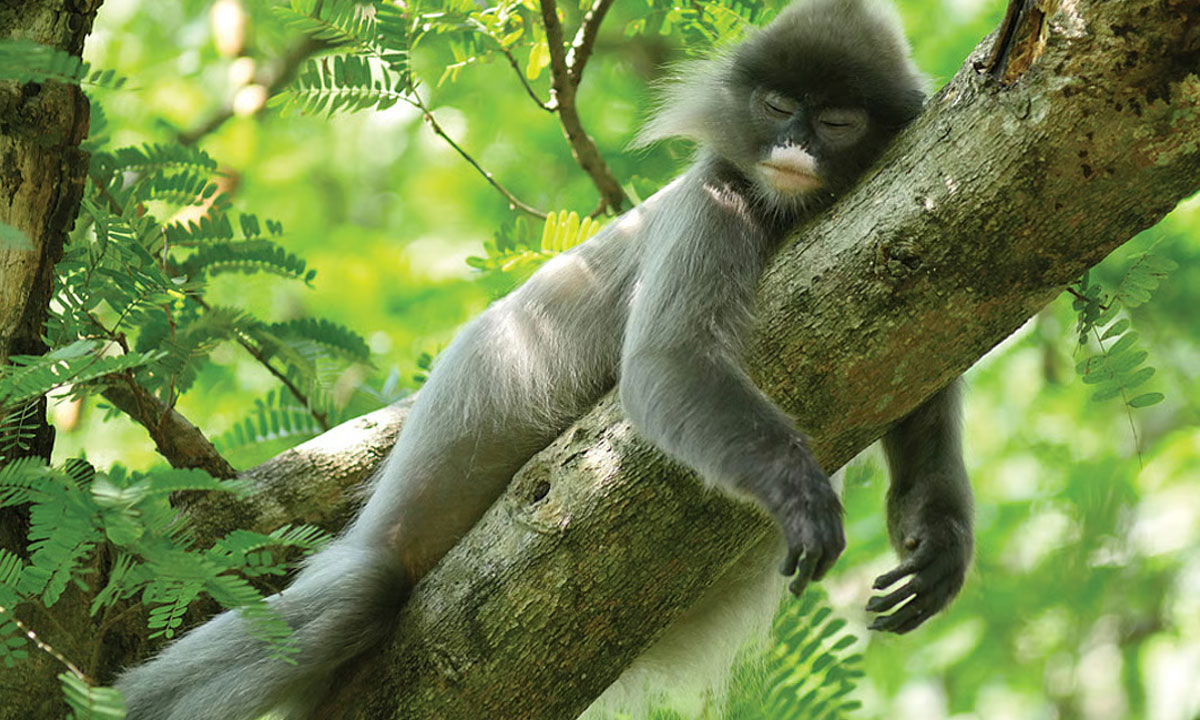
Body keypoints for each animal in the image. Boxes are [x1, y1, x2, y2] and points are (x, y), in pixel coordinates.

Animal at [115, 0, 973, 717]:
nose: (793, 145)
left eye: (835, 120)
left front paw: (939, 539)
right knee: (358, 590)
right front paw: (800, 495)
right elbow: (663, 369)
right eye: (776, 107)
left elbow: (922, 382)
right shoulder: (715, 198)